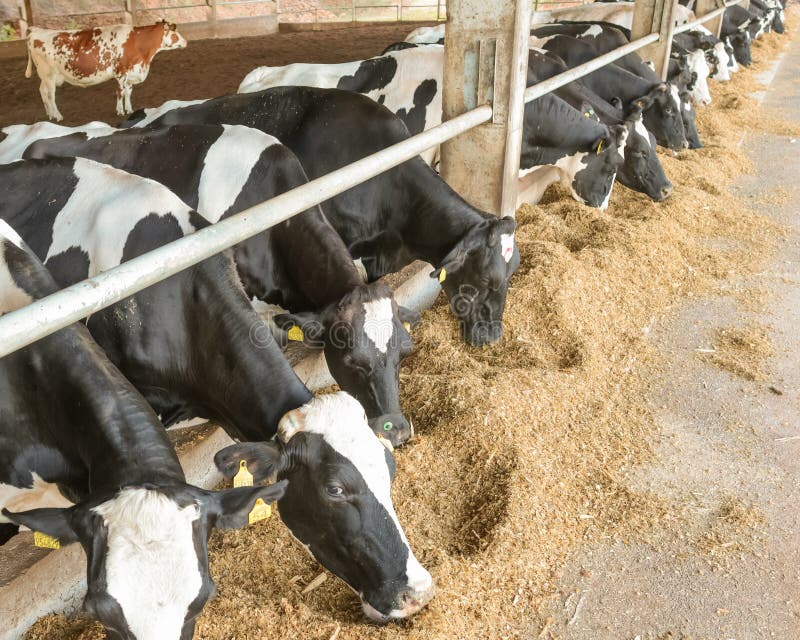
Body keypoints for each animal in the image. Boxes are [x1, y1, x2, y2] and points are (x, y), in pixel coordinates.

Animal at [25, 20, 187, 121]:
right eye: (175, 33)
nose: (186, 41)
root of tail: (35, 31)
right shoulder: (121, 72)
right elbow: (120, 92)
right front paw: (120, 111)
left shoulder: (130, 73)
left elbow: (128, 92)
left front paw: (129, 109)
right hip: (49, 75)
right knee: (50, 96)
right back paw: (58, 116)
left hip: (45, 77)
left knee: (42, 92)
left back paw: (50, 115)